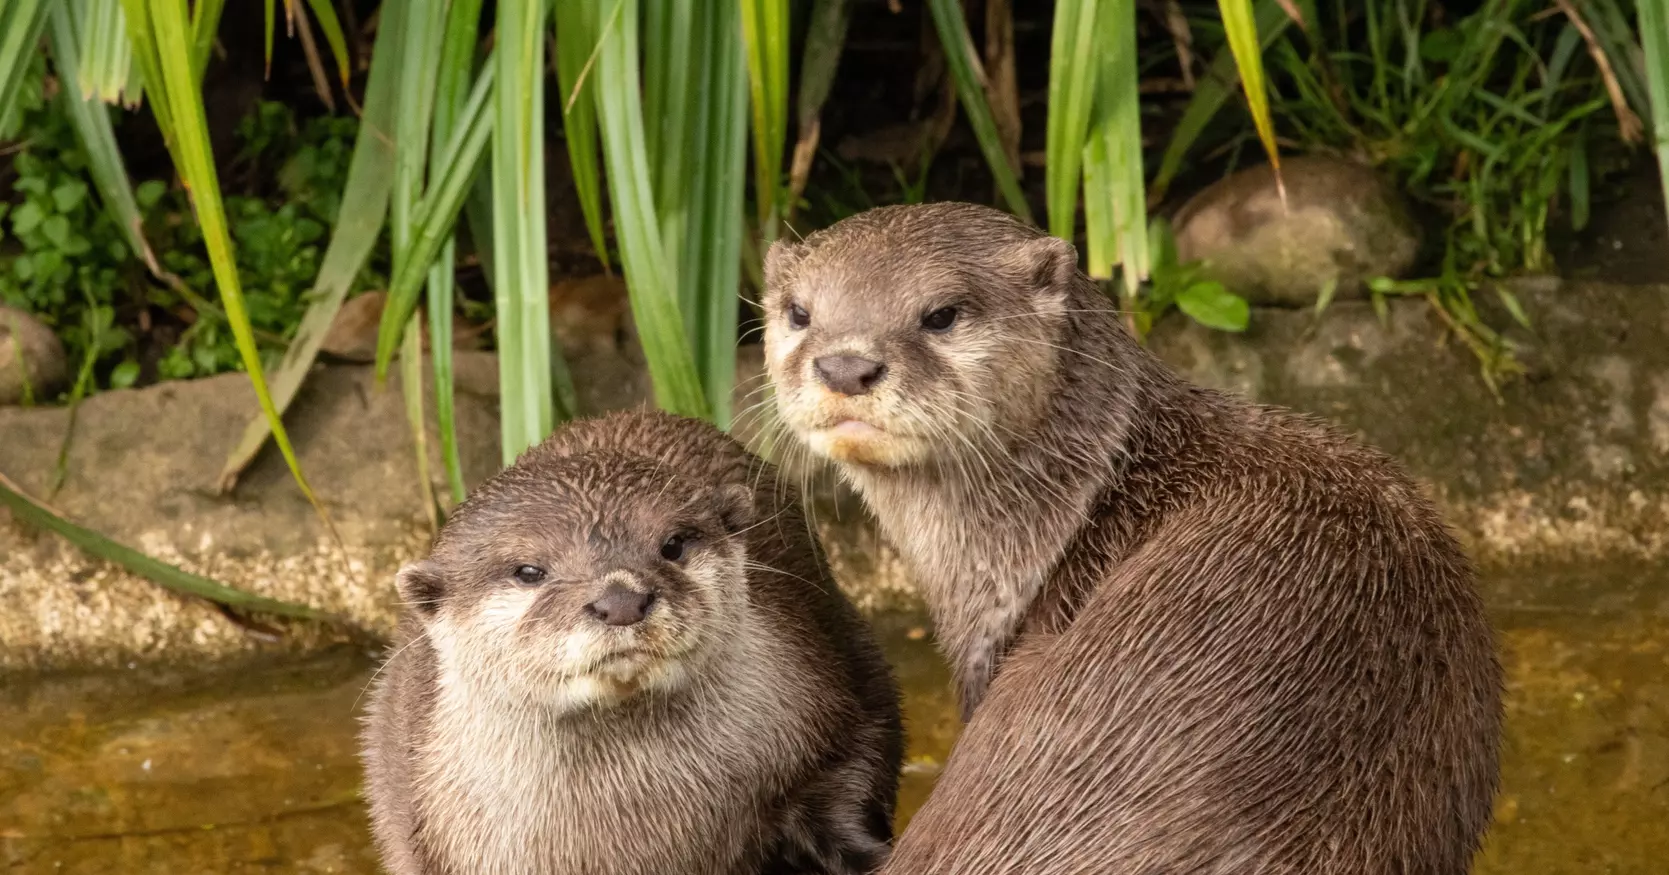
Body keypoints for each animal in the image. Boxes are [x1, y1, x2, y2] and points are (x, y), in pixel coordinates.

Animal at [359, 410, 903, 875]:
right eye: (529, 571)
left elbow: (853, 770)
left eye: (673, 544)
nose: (621, 599)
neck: (640, 824)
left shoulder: (821, 697)